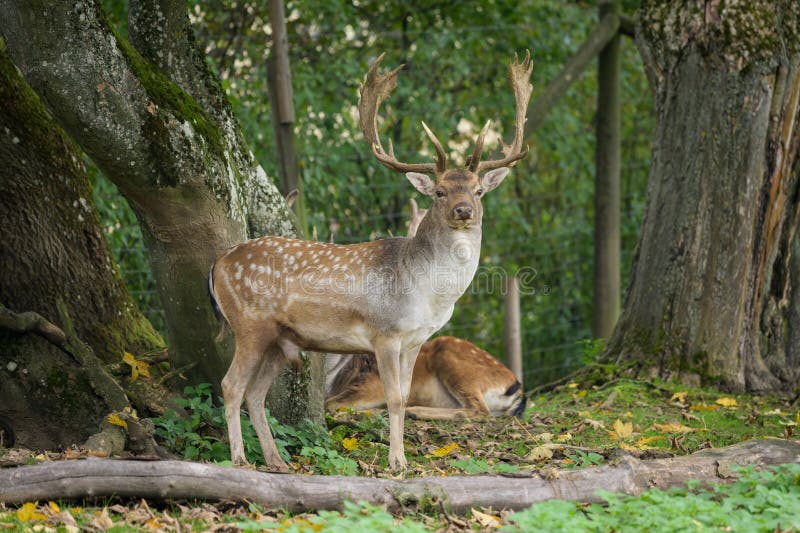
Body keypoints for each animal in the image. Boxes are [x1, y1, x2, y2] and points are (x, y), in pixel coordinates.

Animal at [208, 51, 532, 471]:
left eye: (479, 191)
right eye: (439, 191)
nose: (464, 210)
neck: (427, 294)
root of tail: (217, 264)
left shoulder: (415, 340)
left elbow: (405, 396)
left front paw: (403, 456)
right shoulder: (384, 333)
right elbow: (393, 398)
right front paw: (397, 462)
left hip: (278, 339)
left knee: (255, 392)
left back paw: (276, 460)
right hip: (250, 323)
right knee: (231, 385)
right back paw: (240, 459)